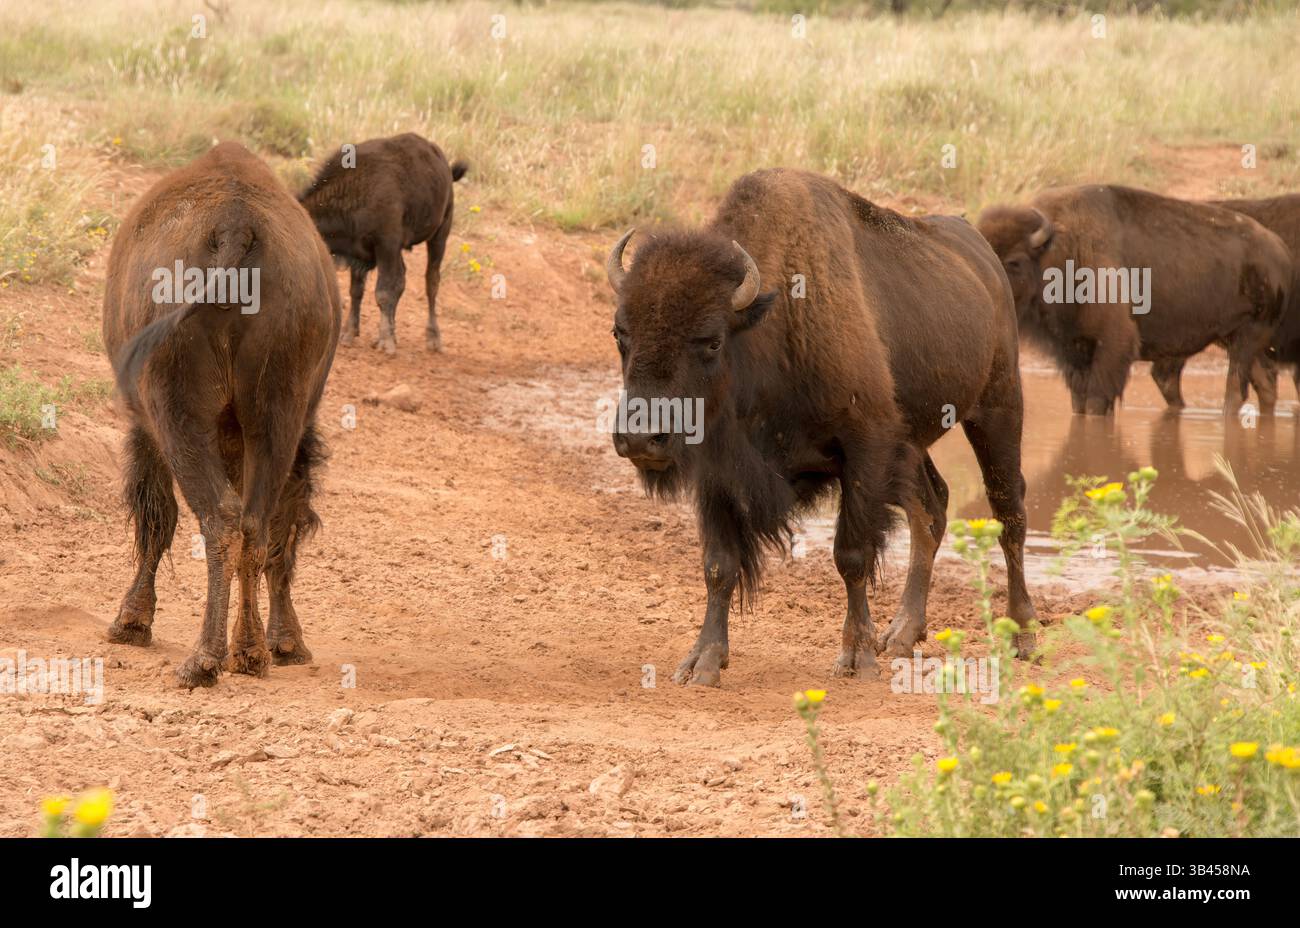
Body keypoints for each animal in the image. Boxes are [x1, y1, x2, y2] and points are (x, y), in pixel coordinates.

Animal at [103, 142, 340, 688]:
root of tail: (236, 226)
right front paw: (287, 644)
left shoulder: (147, 426)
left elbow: (155, 515)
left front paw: (131, 622)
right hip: (276, 416)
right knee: (257, 523)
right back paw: (251, 652)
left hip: (179, 414)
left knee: (219, 520)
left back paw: (203, 661)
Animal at [299, 132, 467, 355]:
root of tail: (443, 163)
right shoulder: (360, 253)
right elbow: (357, 291)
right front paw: (349, 334)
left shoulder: (387, 246)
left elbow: (384, 292)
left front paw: (386, 342)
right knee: (403, 280)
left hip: (440, 234)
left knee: (431, 282)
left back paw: (433, 339)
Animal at [605, 168, 1037, 687]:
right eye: (620, 333)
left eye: (711, 340)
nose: (639, 436)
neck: (770, 323)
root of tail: (982, 253)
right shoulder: (718, 472)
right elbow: (719, 565)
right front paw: (702, 662)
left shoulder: (864, 452)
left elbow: (850, 555)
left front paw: (857, 657)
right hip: (912, 444)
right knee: (932, 509)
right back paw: (902, 634)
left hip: (997, 409)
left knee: (1009, 513)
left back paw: (1023, 637)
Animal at [977, 185, 1290, 416]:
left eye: (1014, 261)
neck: (1065, 249)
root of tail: (1279, 250)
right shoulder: (1073, 352)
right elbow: (1079, 403)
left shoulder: (1113, 346)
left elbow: (1096, 401)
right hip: (1234, 338)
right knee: (1264, 385)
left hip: (1248, 337)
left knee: (1235, 390)